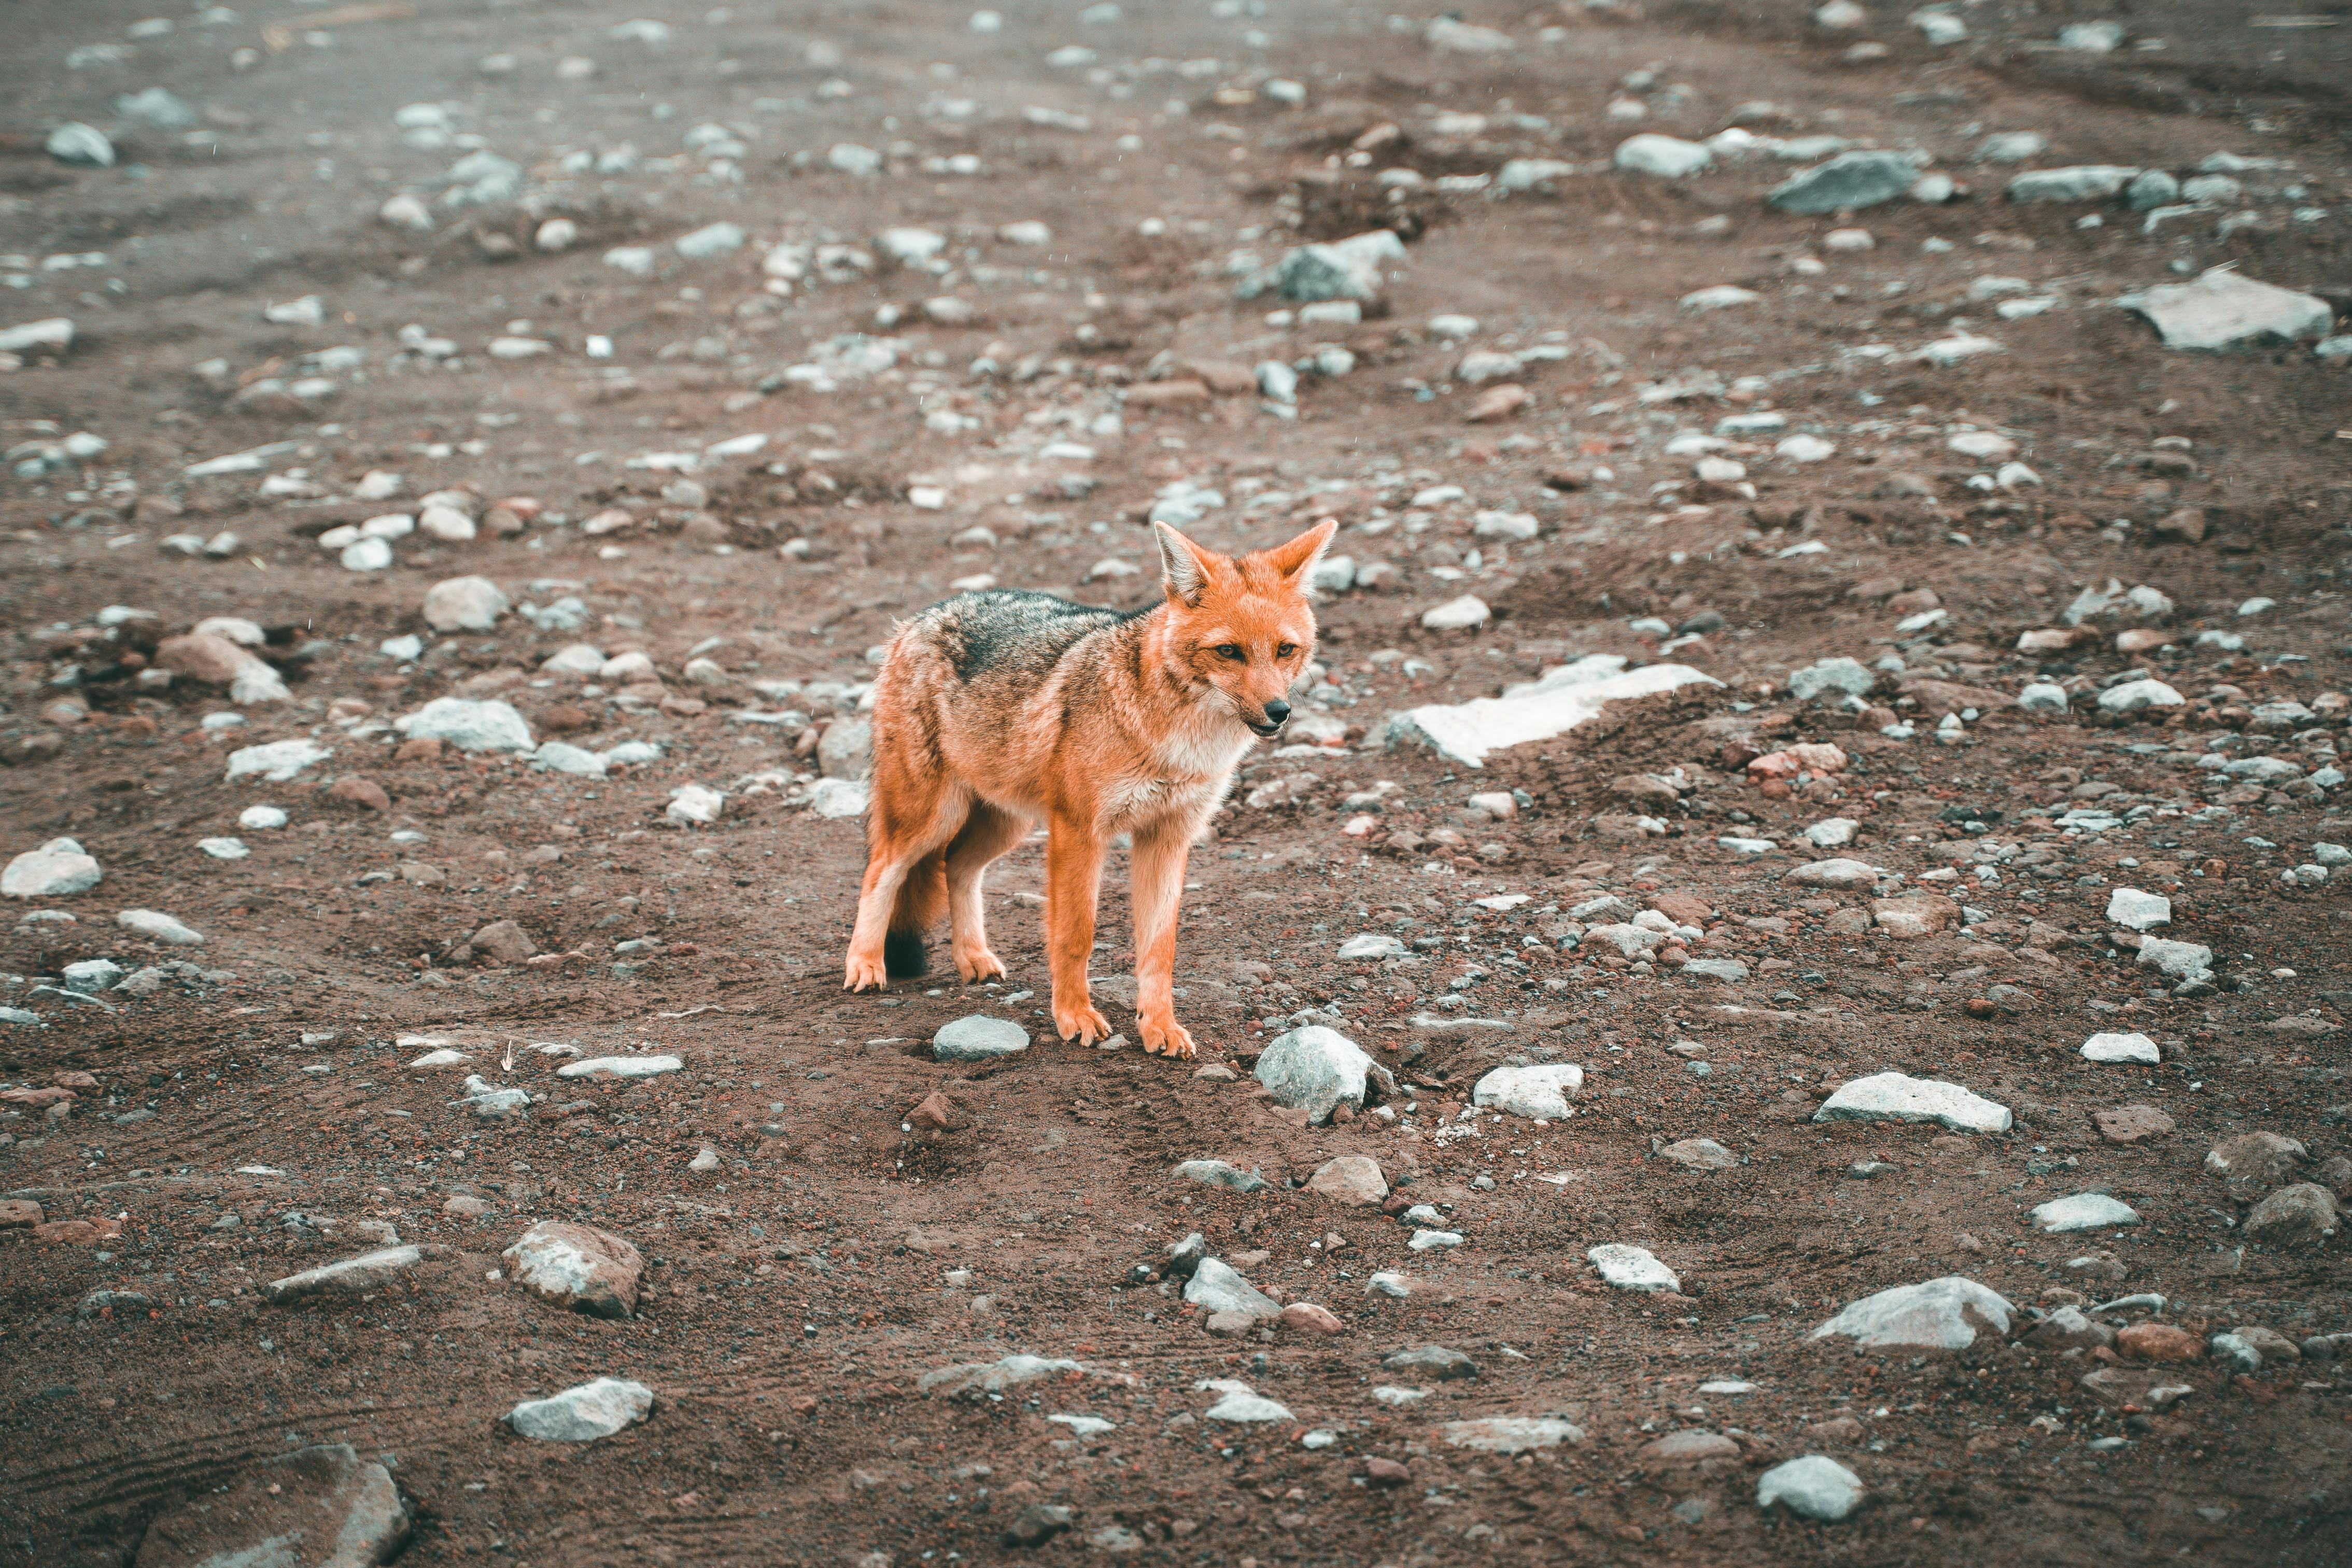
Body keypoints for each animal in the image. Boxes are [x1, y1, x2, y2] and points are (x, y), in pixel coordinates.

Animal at [842, 517, 1337, 1060]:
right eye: (1228, 651)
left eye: (1285, 650)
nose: (1278, 712)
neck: (1178, 745)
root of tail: (917, 618)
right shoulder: (1079, 833)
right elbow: (1075, 936)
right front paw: (1074, 1015)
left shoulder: (1168, 839)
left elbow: (1159, 950)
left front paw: (1159, 1025)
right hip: (929, 818)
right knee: (879, 872)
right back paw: (865, 964)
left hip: (1005, 825)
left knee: (957, 868)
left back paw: (972, 957)